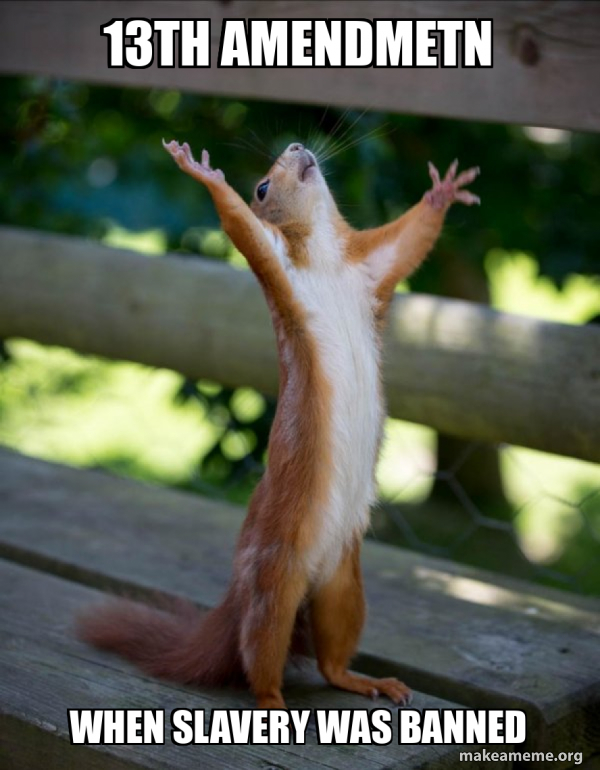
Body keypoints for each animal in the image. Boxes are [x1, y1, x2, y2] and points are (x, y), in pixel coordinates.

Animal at [78, 138, 479, 709]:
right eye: (262, 187)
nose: (296, 146)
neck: (327, 258)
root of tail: (238, 596)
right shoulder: (277, 264)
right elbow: (240, 225)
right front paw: (204, 173)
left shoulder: (372, 267)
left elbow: (410, 240)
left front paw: (442, 192)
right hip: (274, 583)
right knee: (259, 656)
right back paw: (273, 702)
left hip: (344, 586)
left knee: (332, 658)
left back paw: (366, 680)